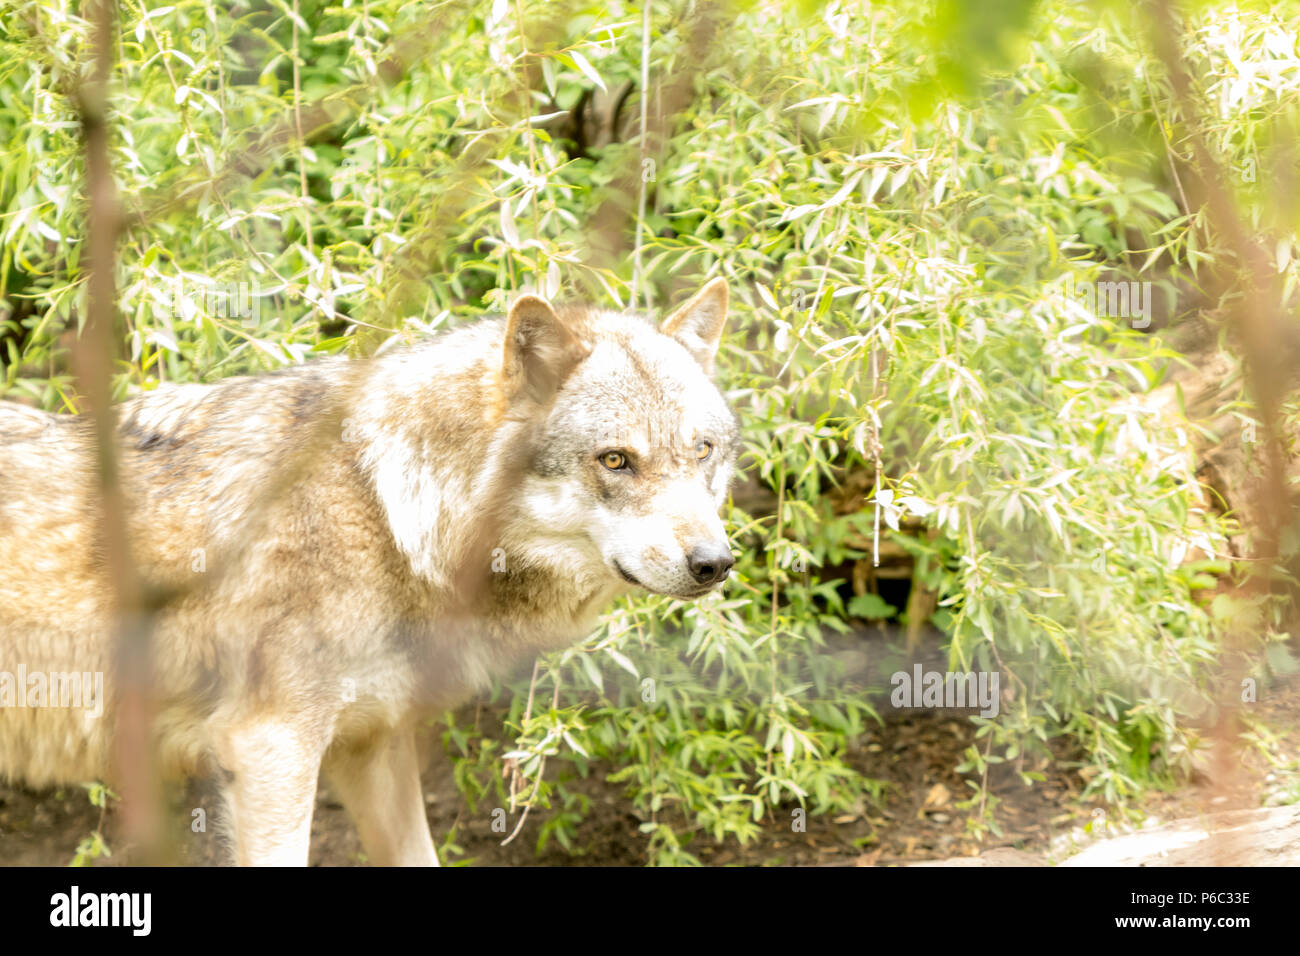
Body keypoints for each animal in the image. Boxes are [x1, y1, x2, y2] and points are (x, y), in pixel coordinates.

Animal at [0, 278, 737, 866]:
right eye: (616, 460)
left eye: (702, 451)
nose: (716, 564)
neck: (385, 506)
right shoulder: (270, 748)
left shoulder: (372, 745)